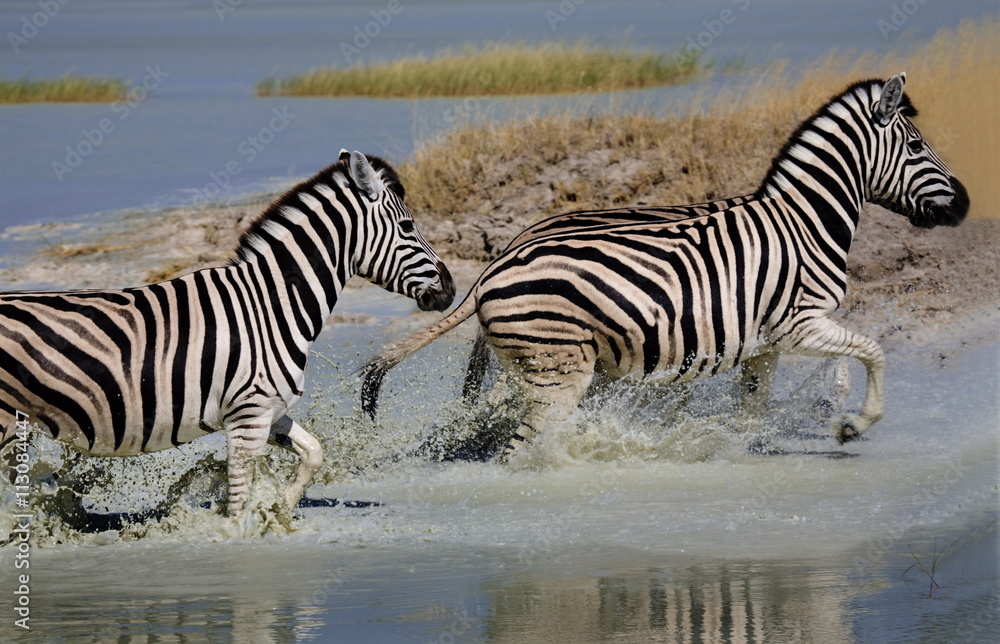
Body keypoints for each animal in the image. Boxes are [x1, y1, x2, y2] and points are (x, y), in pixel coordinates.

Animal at [0, 150, 455, 515]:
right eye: (408, 226)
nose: (451, 289)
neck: (269, 304)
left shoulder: (267, 409)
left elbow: (314, 452)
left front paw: (281, 510)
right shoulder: (248, 416)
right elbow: (237, 504)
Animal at [361, 73, 968, 461]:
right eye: (917, 146)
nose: (963, 204)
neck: (801, 222)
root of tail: (499, 260)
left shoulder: (768, 342)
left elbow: (754, 410)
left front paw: (741, 445)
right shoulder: (799, 323)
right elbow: (873, 350)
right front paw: (850, 423)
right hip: (561, 363)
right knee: (518, 438)